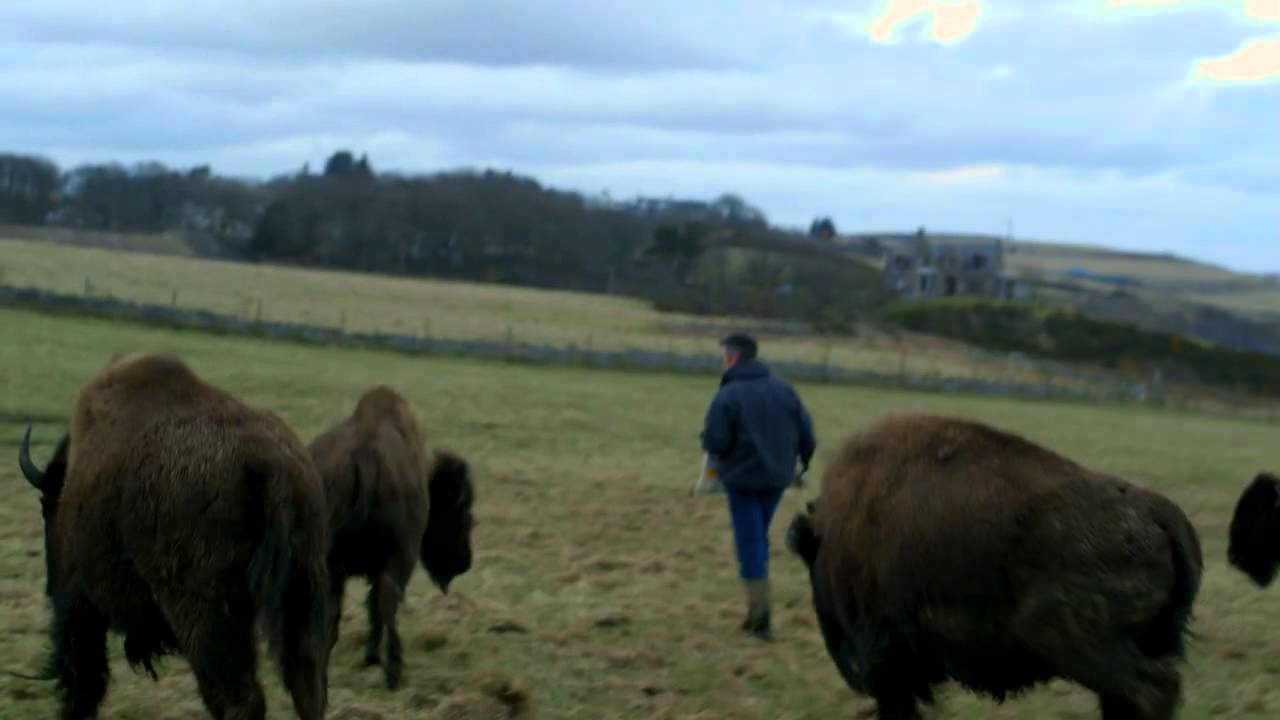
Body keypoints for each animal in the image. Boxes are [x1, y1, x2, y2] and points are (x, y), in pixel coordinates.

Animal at [18, 352, 331, 720]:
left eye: (46, 508)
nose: (48, 588)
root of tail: (270, 463)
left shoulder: (80, 602)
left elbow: (83, 677)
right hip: (304, 589)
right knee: (307, 685)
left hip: (205, 615)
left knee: (239, 698)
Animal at [309, 385, 475, 689]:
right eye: (464, 515)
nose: (464, 562)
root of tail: (364, 459)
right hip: (398, 558)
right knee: (385, 601)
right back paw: (393, 671)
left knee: (332, 609)